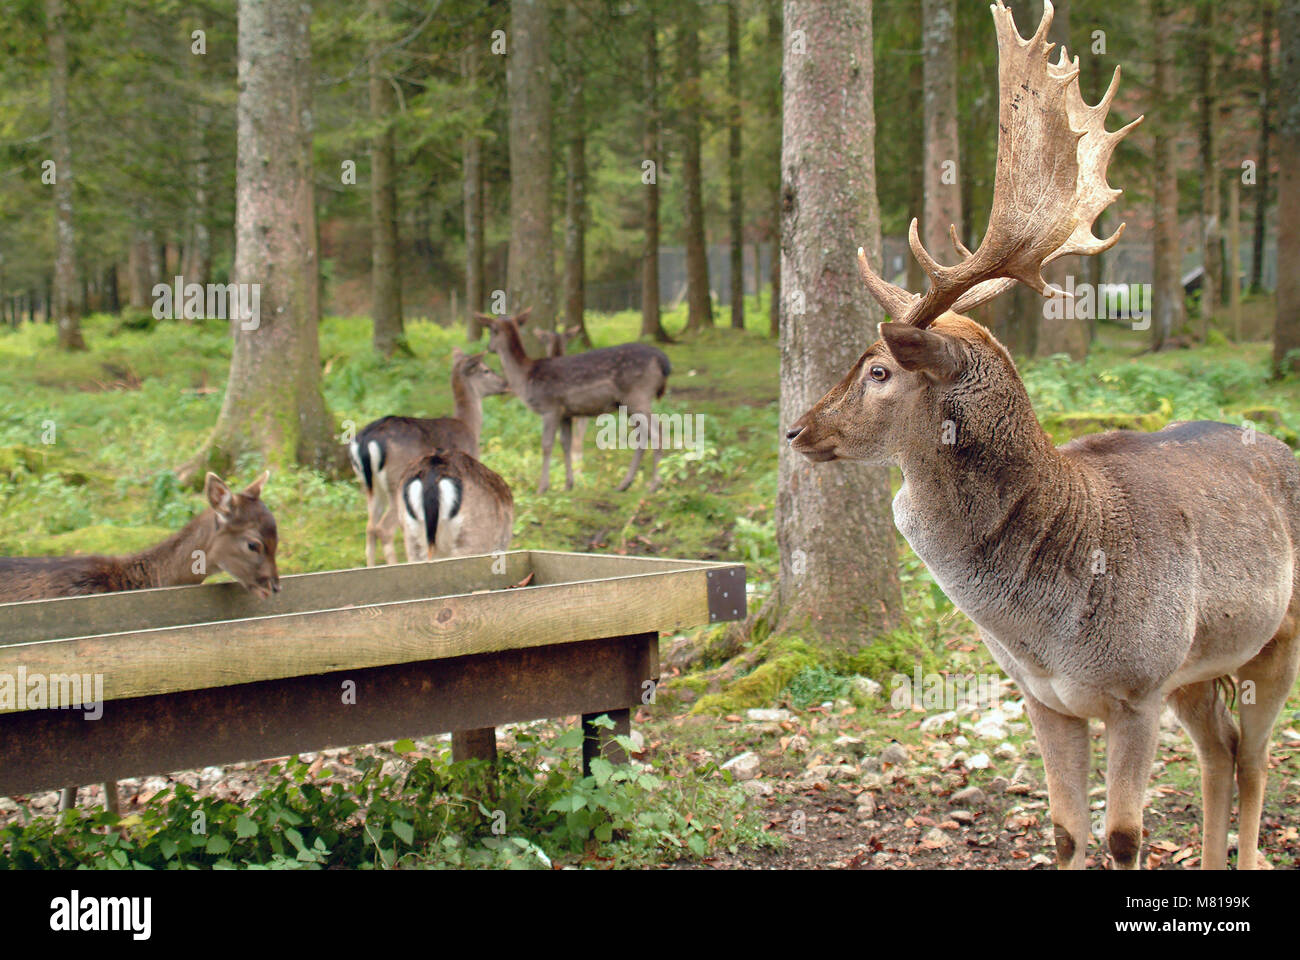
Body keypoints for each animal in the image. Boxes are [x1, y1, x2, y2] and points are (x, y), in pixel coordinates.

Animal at [349, 348, 508, 566]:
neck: (470, 427)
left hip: (369, 487)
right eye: (486, 370)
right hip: (394, 484)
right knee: (384, 528)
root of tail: (365, 442)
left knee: (370, 526)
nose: (505, 384)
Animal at [480, 310, 671, 494]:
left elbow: (547, 445)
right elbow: (566, 443)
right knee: (641, 435)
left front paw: (542, 488)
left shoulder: (550, 407)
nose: (488, 347)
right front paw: (568, 485)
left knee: (658, 431)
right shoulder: (566, 413)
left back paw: (654, 485)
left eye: (491, 330)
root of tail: (663, 361)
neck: (526, 377)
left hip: (638, 395)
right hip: (628, 403)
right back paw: (624, 485)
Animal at [786, 0, 1300, 870]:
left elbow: (1123, 838)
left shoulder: (1138, 687)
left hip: (1276, 642)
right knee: (1221, 750)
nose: (797, 428)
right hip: (1200, 669)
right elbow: (1064, 833)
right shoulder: (1047, 698)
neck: (1046, 627)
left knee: (1257, 756)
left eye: (880, 369)